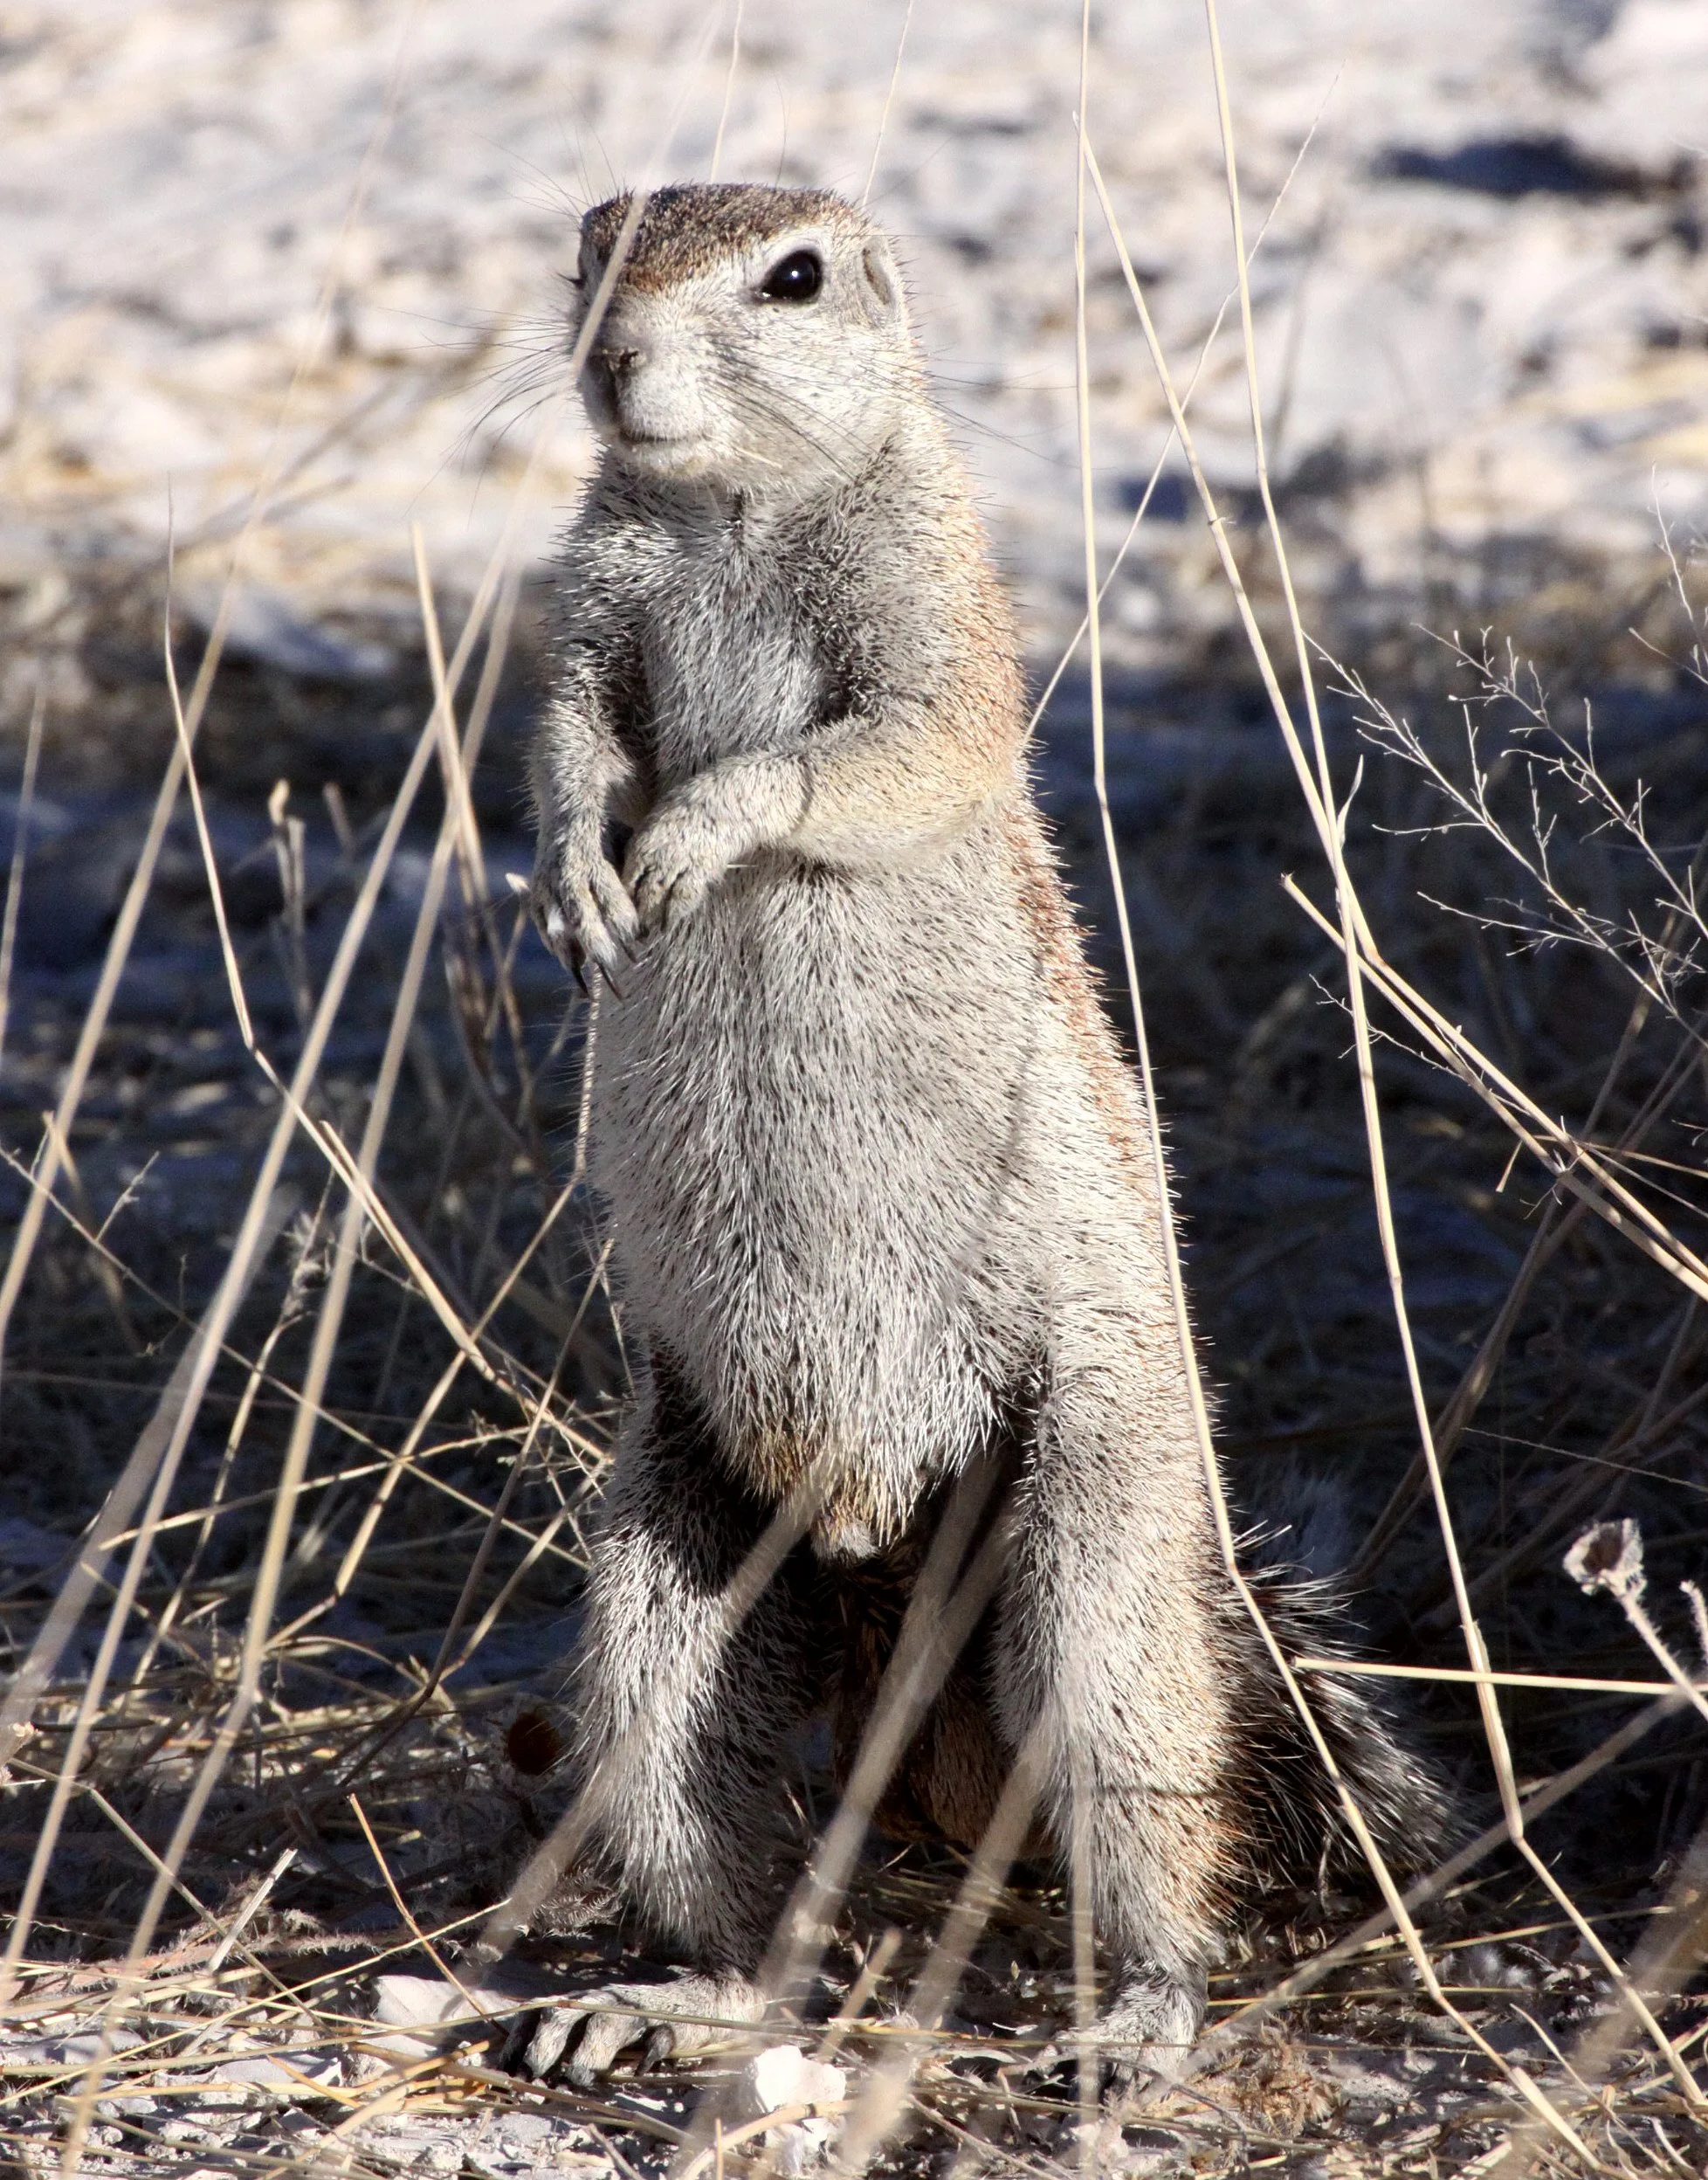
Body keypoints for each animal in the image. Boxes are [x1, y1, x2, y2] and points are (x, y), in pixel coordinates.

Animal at [521, 182, 1453, 2090]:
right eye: (593, 240)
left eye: (793, 275)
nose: (612, 352)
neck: (728, 510)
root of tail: (883, 1560)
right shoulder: (585, 613)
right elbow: (567, 742)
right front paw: (579, 872)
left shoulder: (934, 632)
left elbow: (864, 755)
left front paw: (698, 833)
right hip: (661, 1587)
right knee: (727, 1852)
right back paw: (667, 1994)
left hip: (1091, 1552)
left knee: (1153, 1806)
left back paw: (1142, 2019)